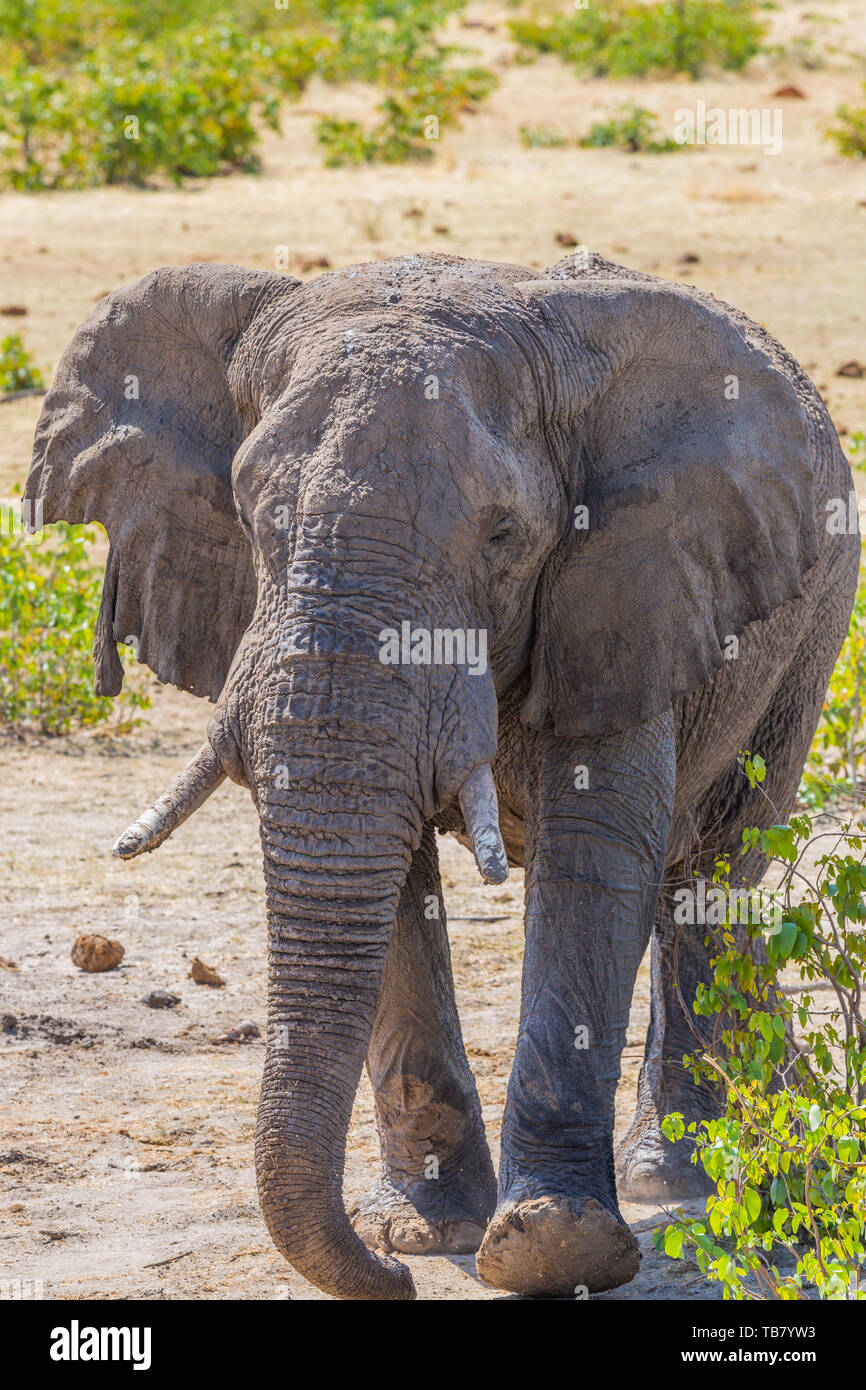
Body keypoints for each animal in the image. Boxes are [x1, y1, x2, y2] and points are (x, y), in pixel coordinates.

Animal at [26, 251, 858, 1301]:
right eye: (250, 514)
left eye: (503, 534)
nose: (390, 1275)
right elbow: (385, 880)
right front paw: (427, 1234)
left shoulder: (629, 584)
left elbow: (596, 858)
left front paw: (552, 1247)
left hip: (811, 631)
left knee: (714, 867)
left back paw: (682, 1173)